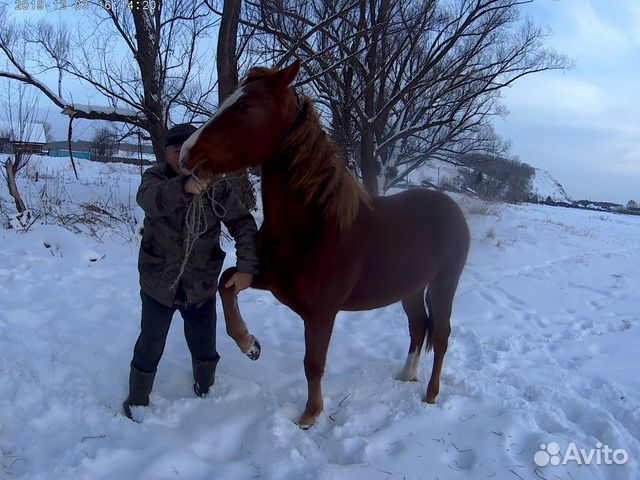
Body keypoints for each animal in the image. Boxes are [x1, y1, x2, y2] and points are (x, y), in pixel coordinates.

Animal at [180, 59, 470, 428]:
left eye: (245, 105)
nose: (187, 154)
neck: (313, 225)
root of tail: (451, 208)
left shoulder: (321, 314)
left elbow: (313, 363)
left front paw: (310, 414)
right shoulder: (266, 278)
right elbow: (225, 283)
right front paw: (249, 344)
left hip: (444, 284)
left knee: (442, 335)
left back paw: (430, 394)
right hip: (411, 288)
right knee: (419, 326)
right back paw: (407, 375)